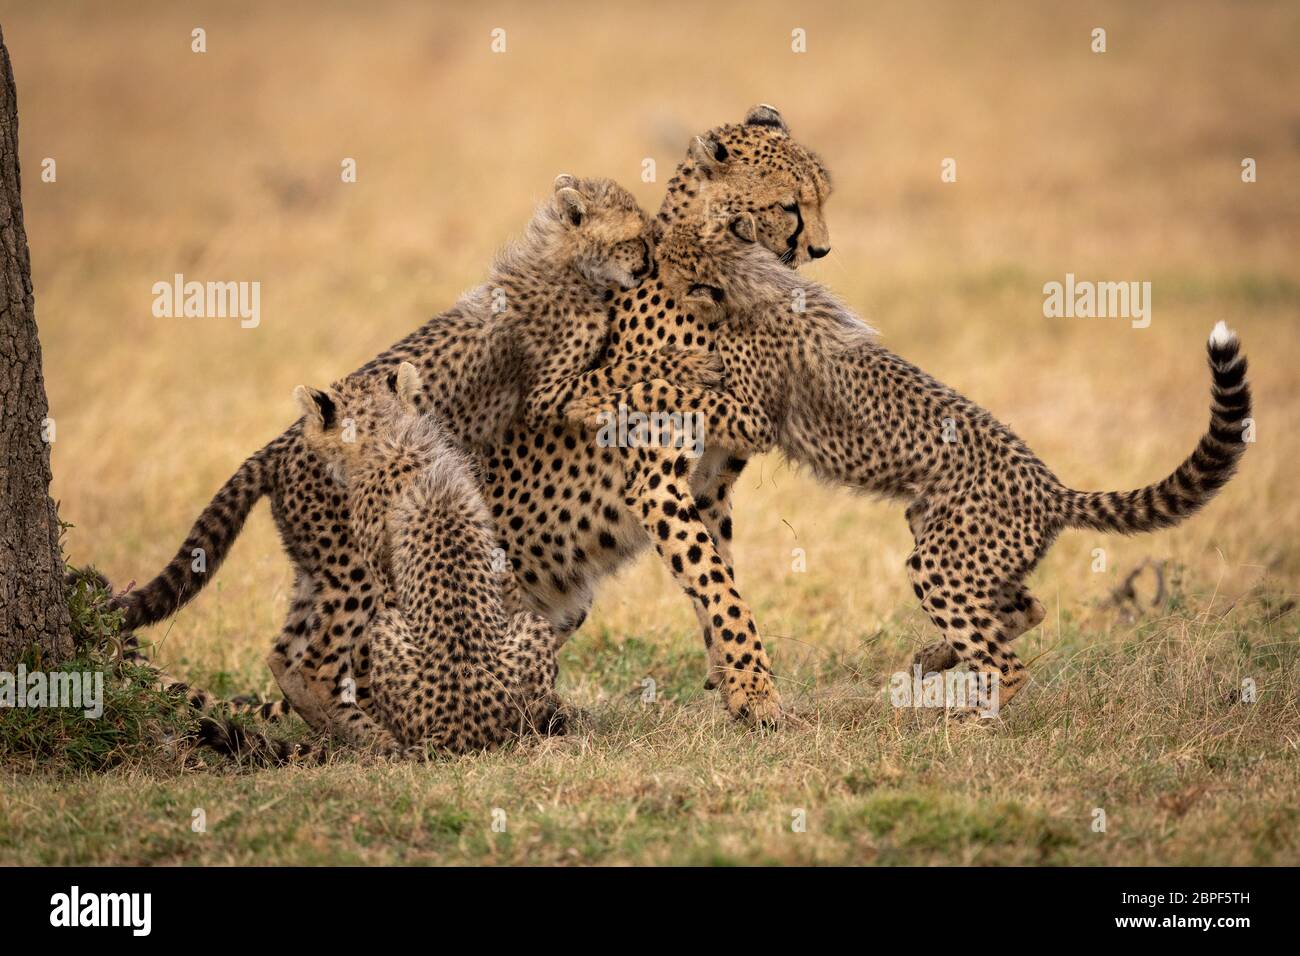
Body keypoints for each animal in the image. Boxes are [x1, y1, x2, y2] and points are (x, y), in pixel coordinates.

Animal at [641, 210, 1252, 714]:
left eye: (672, 250)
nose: (650, 255)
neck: (748, 279)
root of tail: (1051, 487)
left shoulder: (753, 416)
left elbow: (678, 391)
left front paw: (623, 390)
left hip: (942, 563)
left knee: (1008, 666)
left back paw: (967, 720)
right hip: (953, 541)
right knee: (1027, 610)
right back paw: (935, 658)